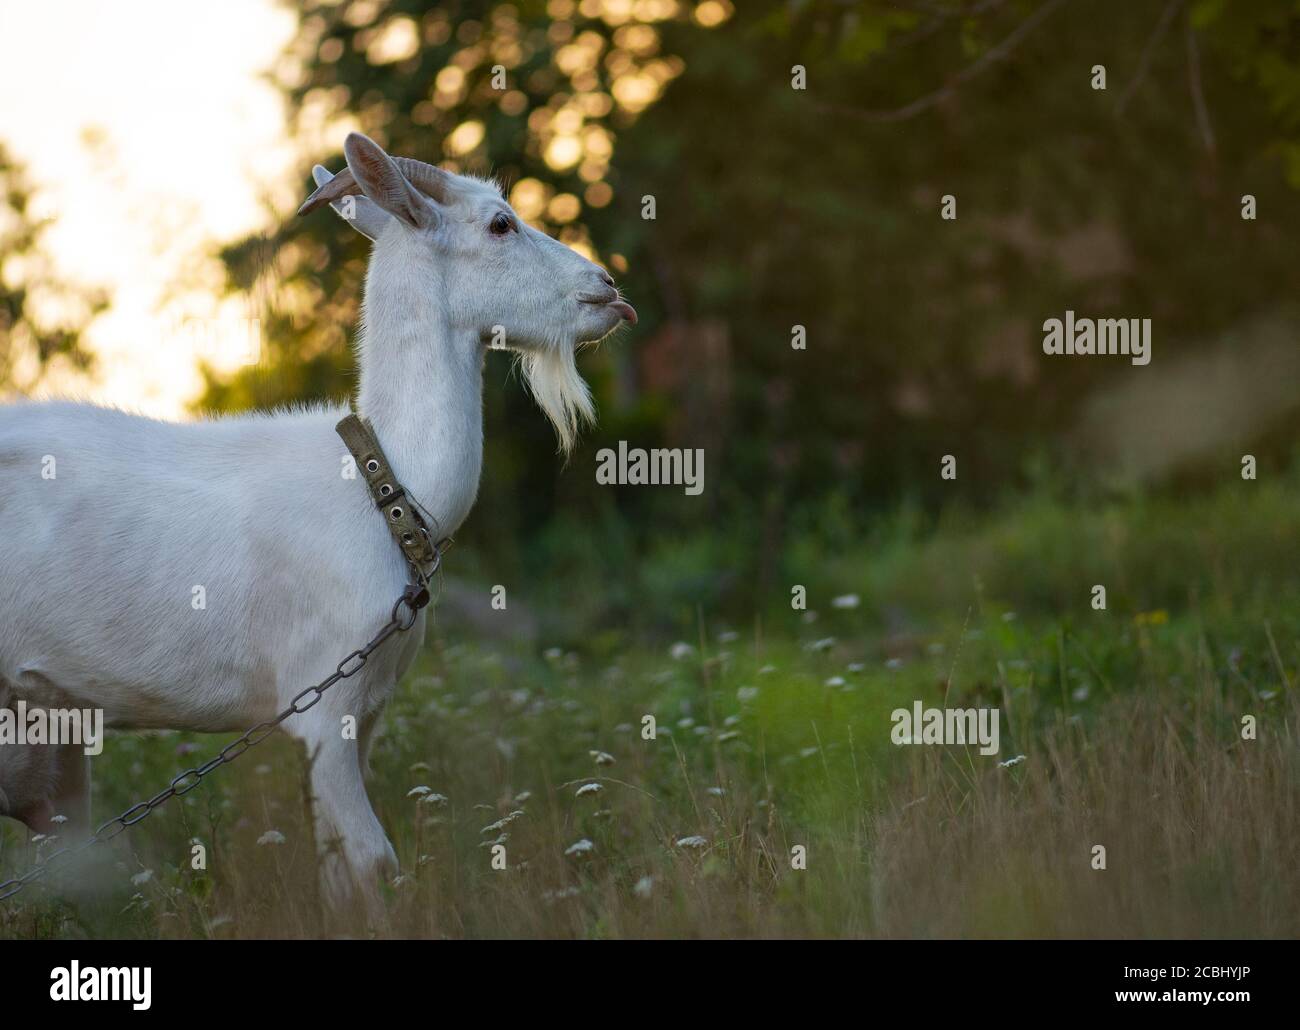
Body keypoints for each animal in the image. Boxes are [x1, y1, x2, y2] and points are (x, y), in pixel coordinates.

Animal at [0, 132, 635, 919]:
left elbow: (338, 874)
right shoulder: (322, 701)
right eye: (500, 224)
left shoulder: (367, 706)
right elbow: (371, 863)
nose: (608, 288)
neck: (381, 487)